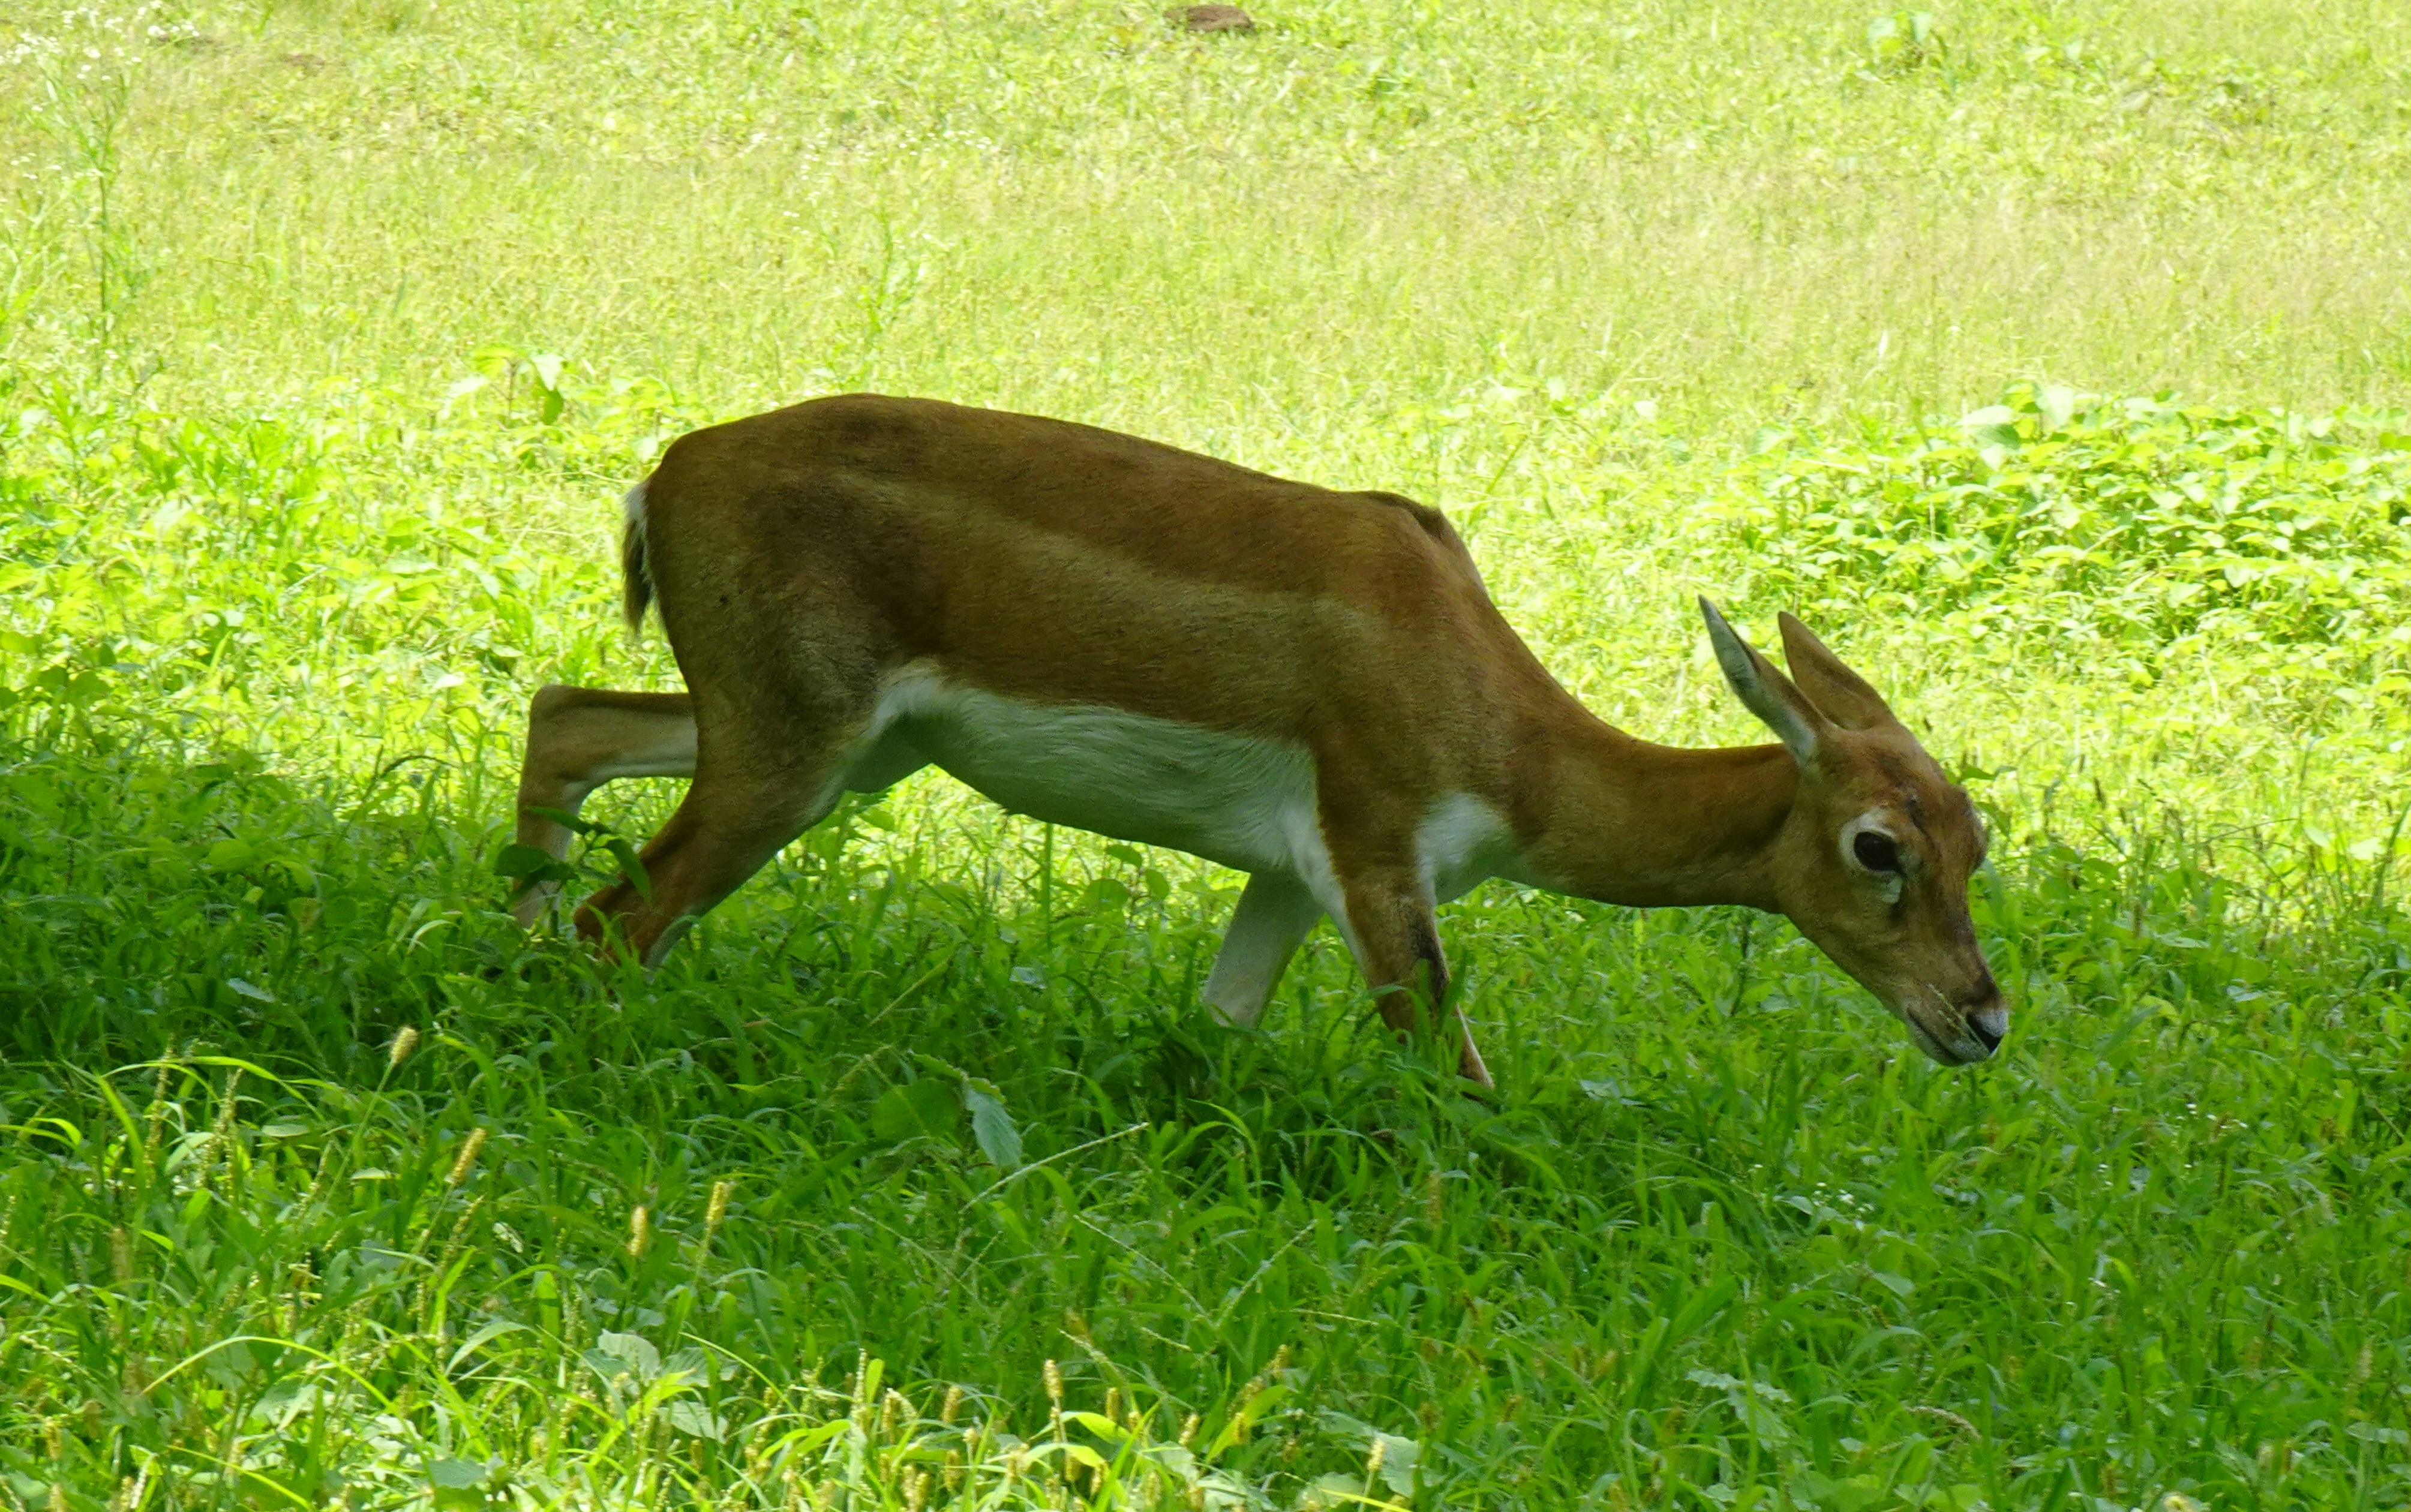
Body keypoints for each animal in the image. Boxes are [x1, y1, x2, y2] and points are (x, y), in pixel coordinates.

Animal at [508, 395, 2004, 1087]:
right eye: (1877, 845)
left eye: (1976, 838)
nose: (1978, 1019)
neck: (1504, 737)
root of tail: (664, 474)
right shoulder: (1375, 854)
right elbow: (1453, 1075)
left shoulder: (1283, 874)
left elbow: (1219, 1027)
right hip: (794, 749)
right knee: (618, 919)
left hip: (841, 744)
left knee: (564, 719)